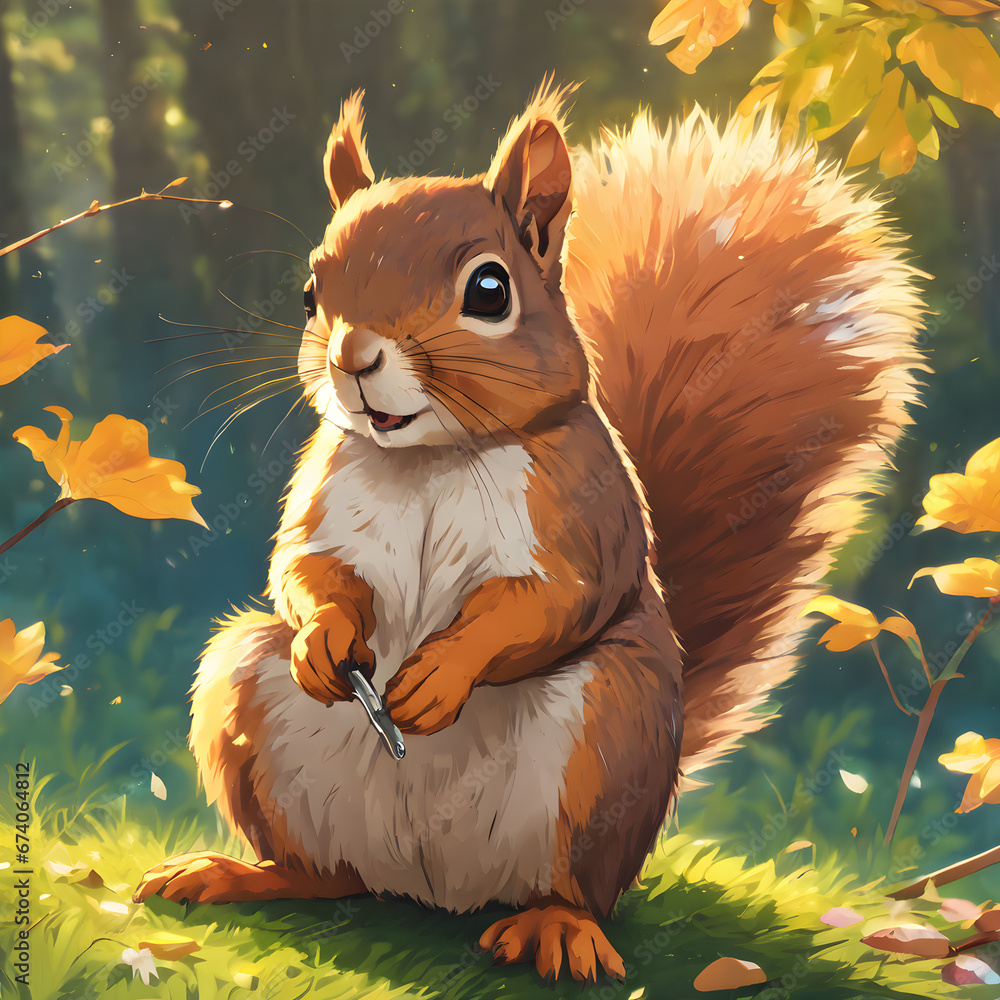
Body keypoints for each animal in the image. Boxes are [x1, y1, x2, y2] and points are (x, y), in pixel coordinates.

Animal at [134, 81, 925, 984]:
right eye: (310, 294)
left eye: (489, 291)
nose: (352, 358)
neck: (431, 458)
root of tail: (430, 884)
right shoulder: (323, 493)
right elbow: (303, 570)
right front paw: (325, 640)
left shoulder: (582, 512)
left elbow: (553, 602)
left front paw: (442, 673)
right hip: (247, 698)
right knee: (323, 875)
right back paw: (236, 874)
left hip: (605, 741)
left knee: (572, 886)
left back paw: (558, 929)